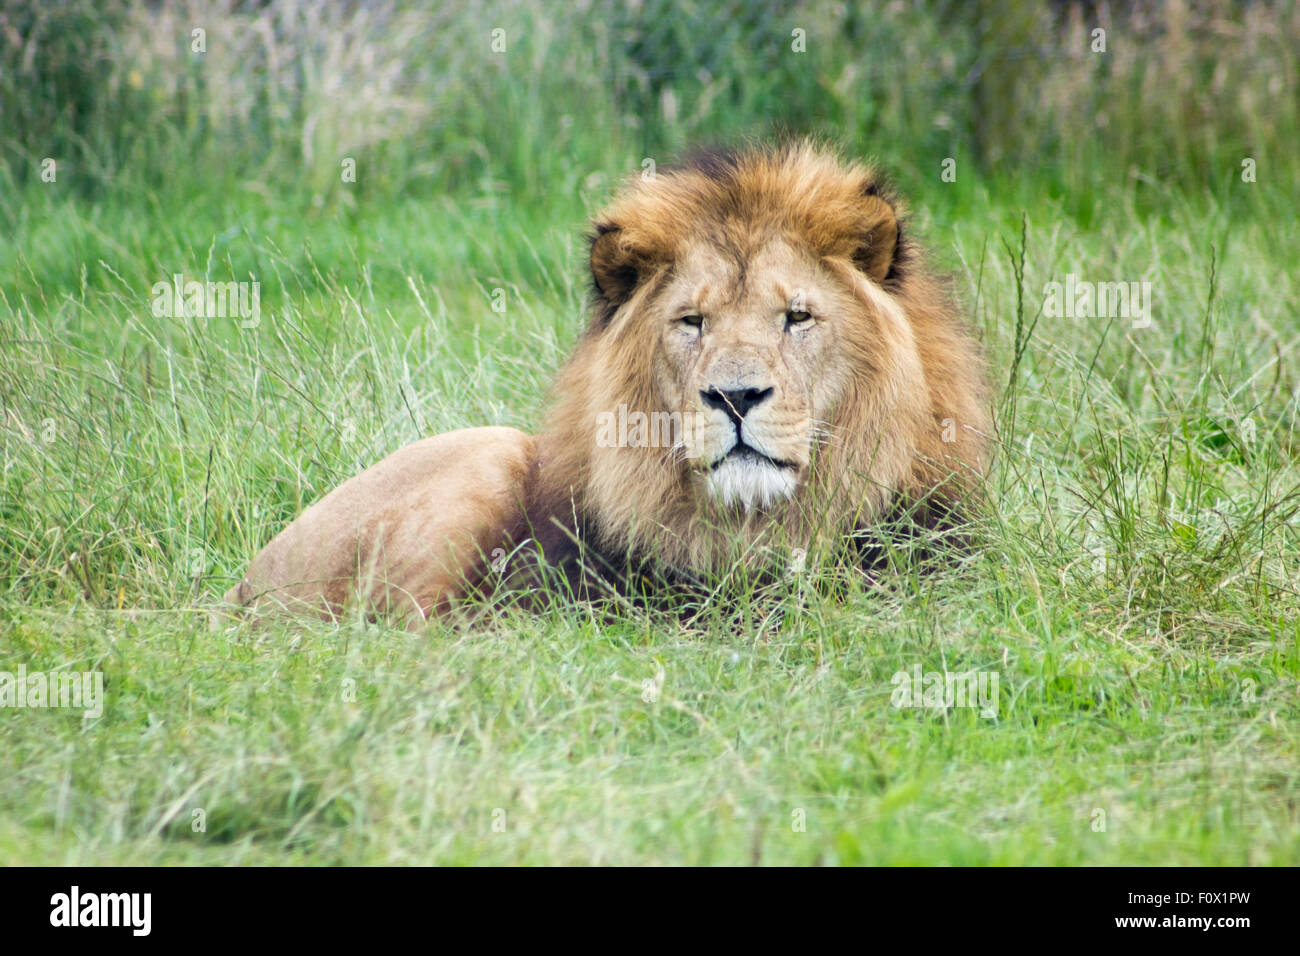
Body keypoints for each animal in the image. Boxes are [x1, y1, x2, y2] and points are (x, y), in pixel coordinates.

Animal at [222, 141, 990, 627]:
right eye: (692, 322)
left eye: (796, 318)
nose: (735, 397)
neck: (758, 523)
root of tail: (238, 591)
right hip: (488, 454)